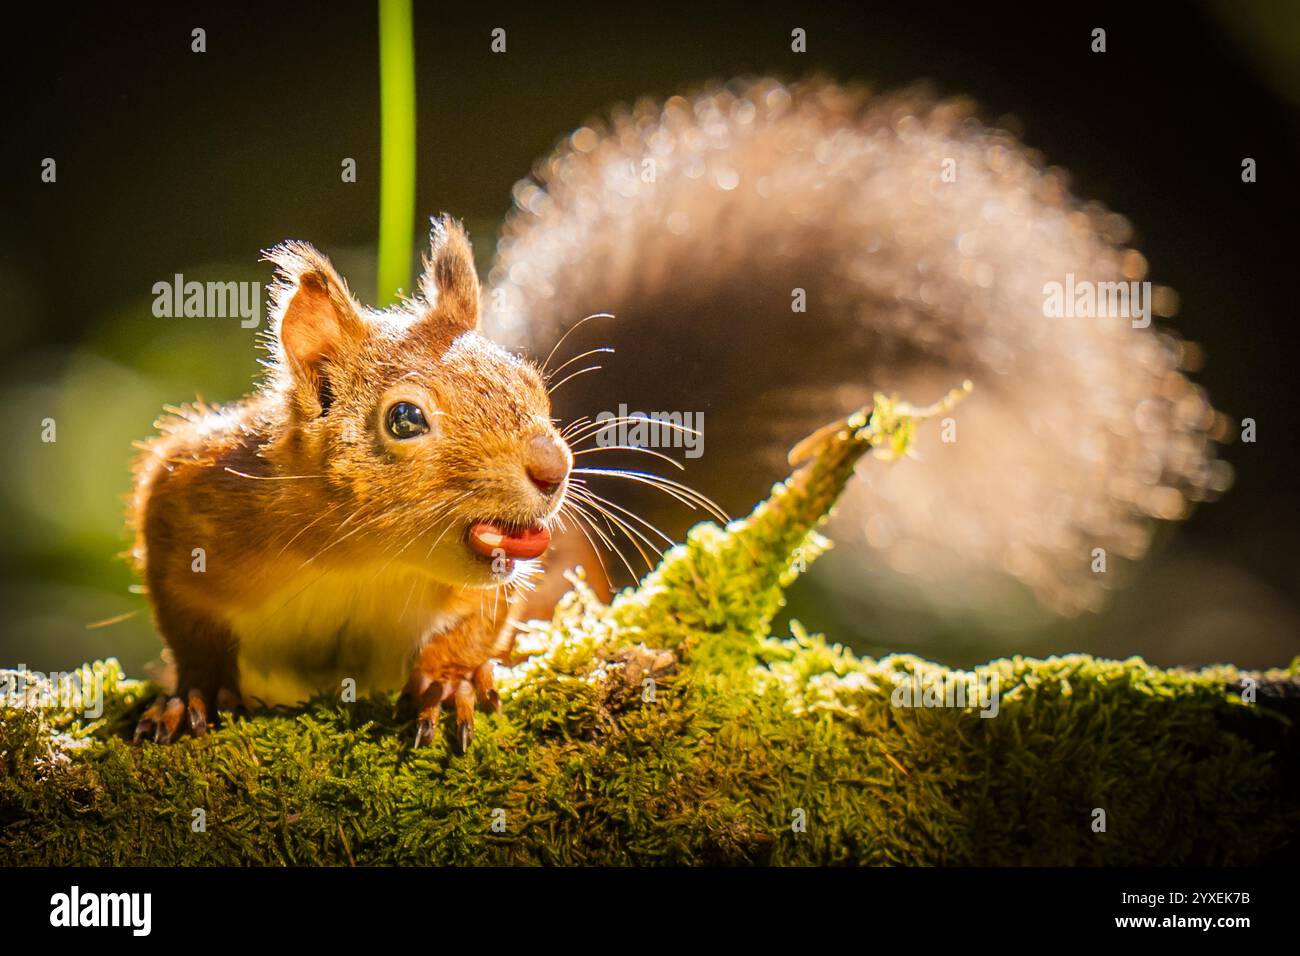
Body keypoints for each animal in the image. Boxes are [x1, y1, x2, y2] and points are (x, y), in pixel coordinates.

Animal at [129, 76, 1225, 748]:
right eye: (403, 420)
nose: (552, 470)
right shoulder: (187, 498)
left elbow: (479, 618)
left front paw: (450, 678)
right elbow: (185, 611)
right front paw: (191, 692)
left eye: (533, 386)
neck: (360, 561)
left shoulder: (498, 580)